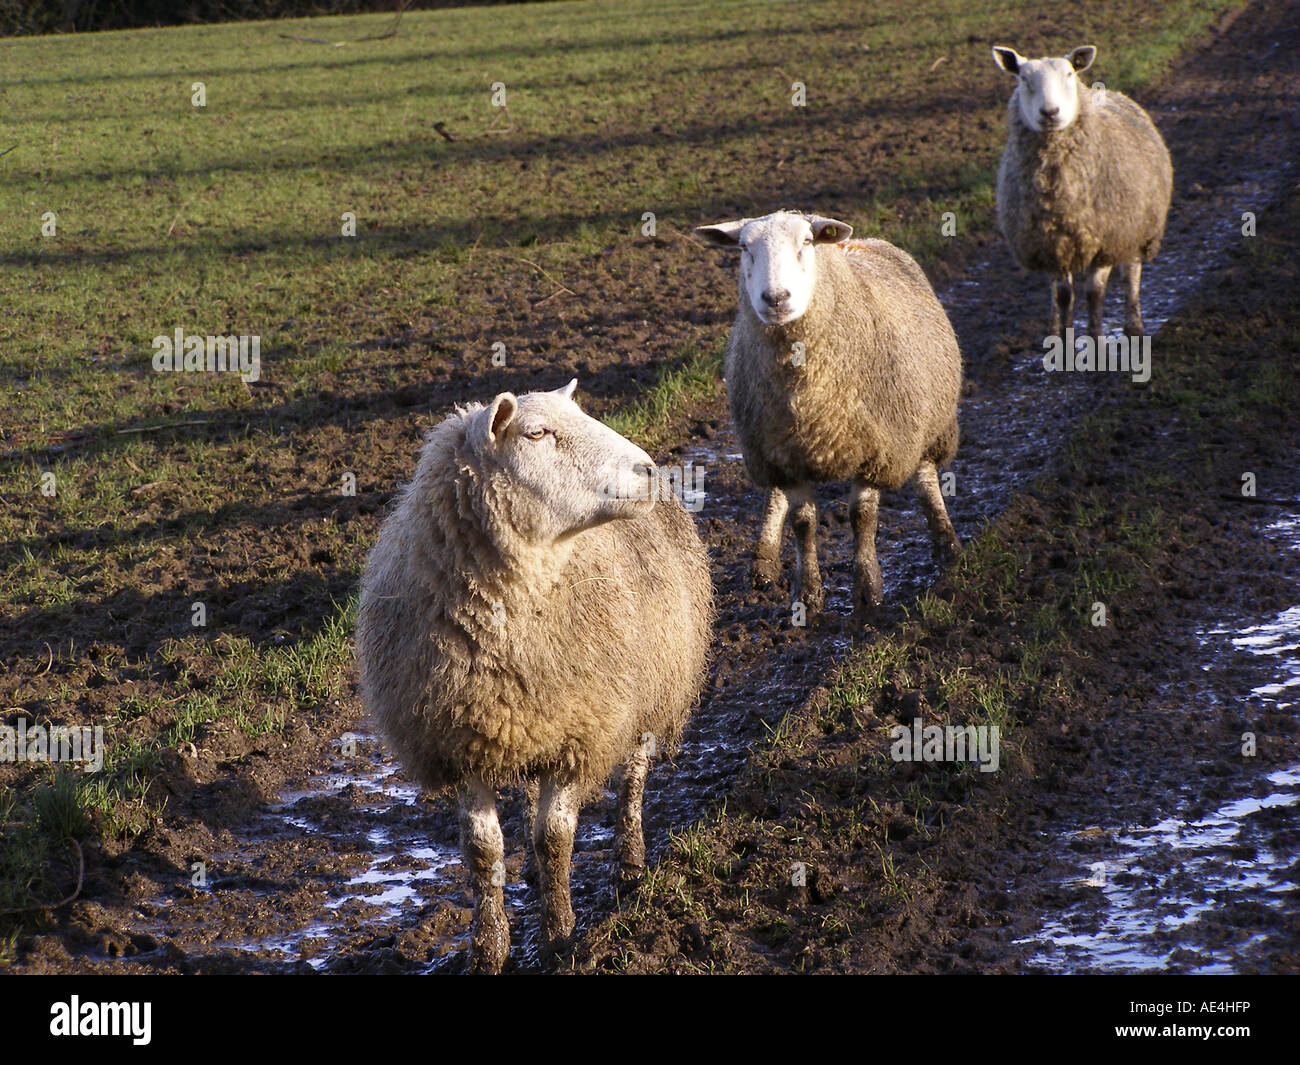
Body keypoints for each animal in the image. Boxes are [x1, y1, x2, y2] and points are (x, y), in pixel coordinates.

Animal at [355, 380, 713, 974]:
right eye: (537, 433)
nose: (647, 471)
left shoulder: (580, 734)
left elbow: (554, 839)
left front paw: (560, 935)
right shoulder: (459, 742)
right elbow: (483, 852)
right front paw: (489, 947)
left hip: (652, 688)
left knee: (633, 779)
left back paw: (631, 863)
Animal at [694, 211, 962, 625]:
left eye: (806, 242)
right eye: (743, 247)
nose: (775, 298)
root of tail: (861, 241)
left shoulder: (878, 448)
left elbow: (862, 517)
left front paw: (868, 592)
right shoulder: (784, 452)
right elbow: (803, 522)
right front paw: (807, 595)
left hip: (927, 420)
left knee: (926, 477)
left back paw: (946, 543)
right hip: (769, 442)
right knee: (774, 496)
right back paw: (764, 562)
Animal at [992, 44, 1173, 339]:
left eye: (1069, 74)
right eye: (1023, 79)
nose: (1050, 112)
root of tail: (1109, 92)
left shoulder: (1106, 238)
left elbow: (1094, 293)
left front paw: (1096, 338)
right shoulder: (1051, 245)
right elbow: (1063, 296)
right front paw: (1063, 338)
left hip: (1134, 226)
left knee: (1131, 272)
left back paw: (1133, 324)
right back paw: (1053, 328)